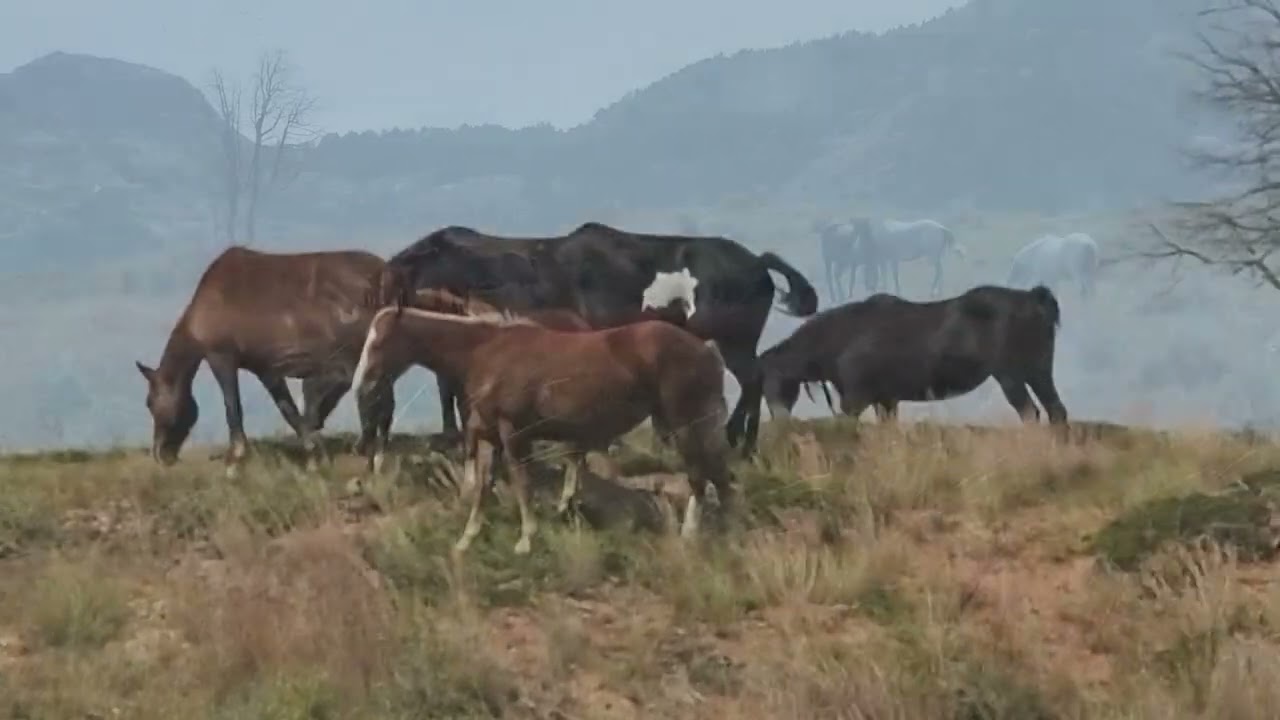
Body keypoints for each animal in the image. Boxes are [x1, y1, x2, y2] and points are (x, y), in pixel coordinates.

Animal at [134, 246, 402, 475]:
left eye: (149, 402)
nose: (161, 454)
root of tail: (385, 275)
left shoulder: (221, 357)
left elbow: (233, 407)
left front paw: (235, 459)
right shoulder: (265, 369)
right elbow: (288, 410)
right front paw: (313, 454)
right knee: (384, 403)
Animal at [349, 307, 735, 556]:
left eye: (379, 342)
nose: (361, 386)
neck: (486, 351)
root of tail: (705, 347)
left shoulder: (514, 434)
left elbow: (522, 484)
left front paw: (525, 541)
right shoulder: (491, 437)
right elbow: (483, 488)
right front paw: (466, 540)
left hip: (685, 425)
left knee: (701, 476)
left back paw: (691, 536)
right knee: (719, 478)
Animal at [756, 285, 1068, 427]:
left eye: (770, 378)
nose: (779, 418)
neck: (843, 336)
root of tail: (1032, 297)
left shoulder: (856, 398)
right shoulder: (886, 400)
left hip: (1010, 376)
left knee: (1030, 413)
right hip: (1039, 372)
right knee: (1056, 411)